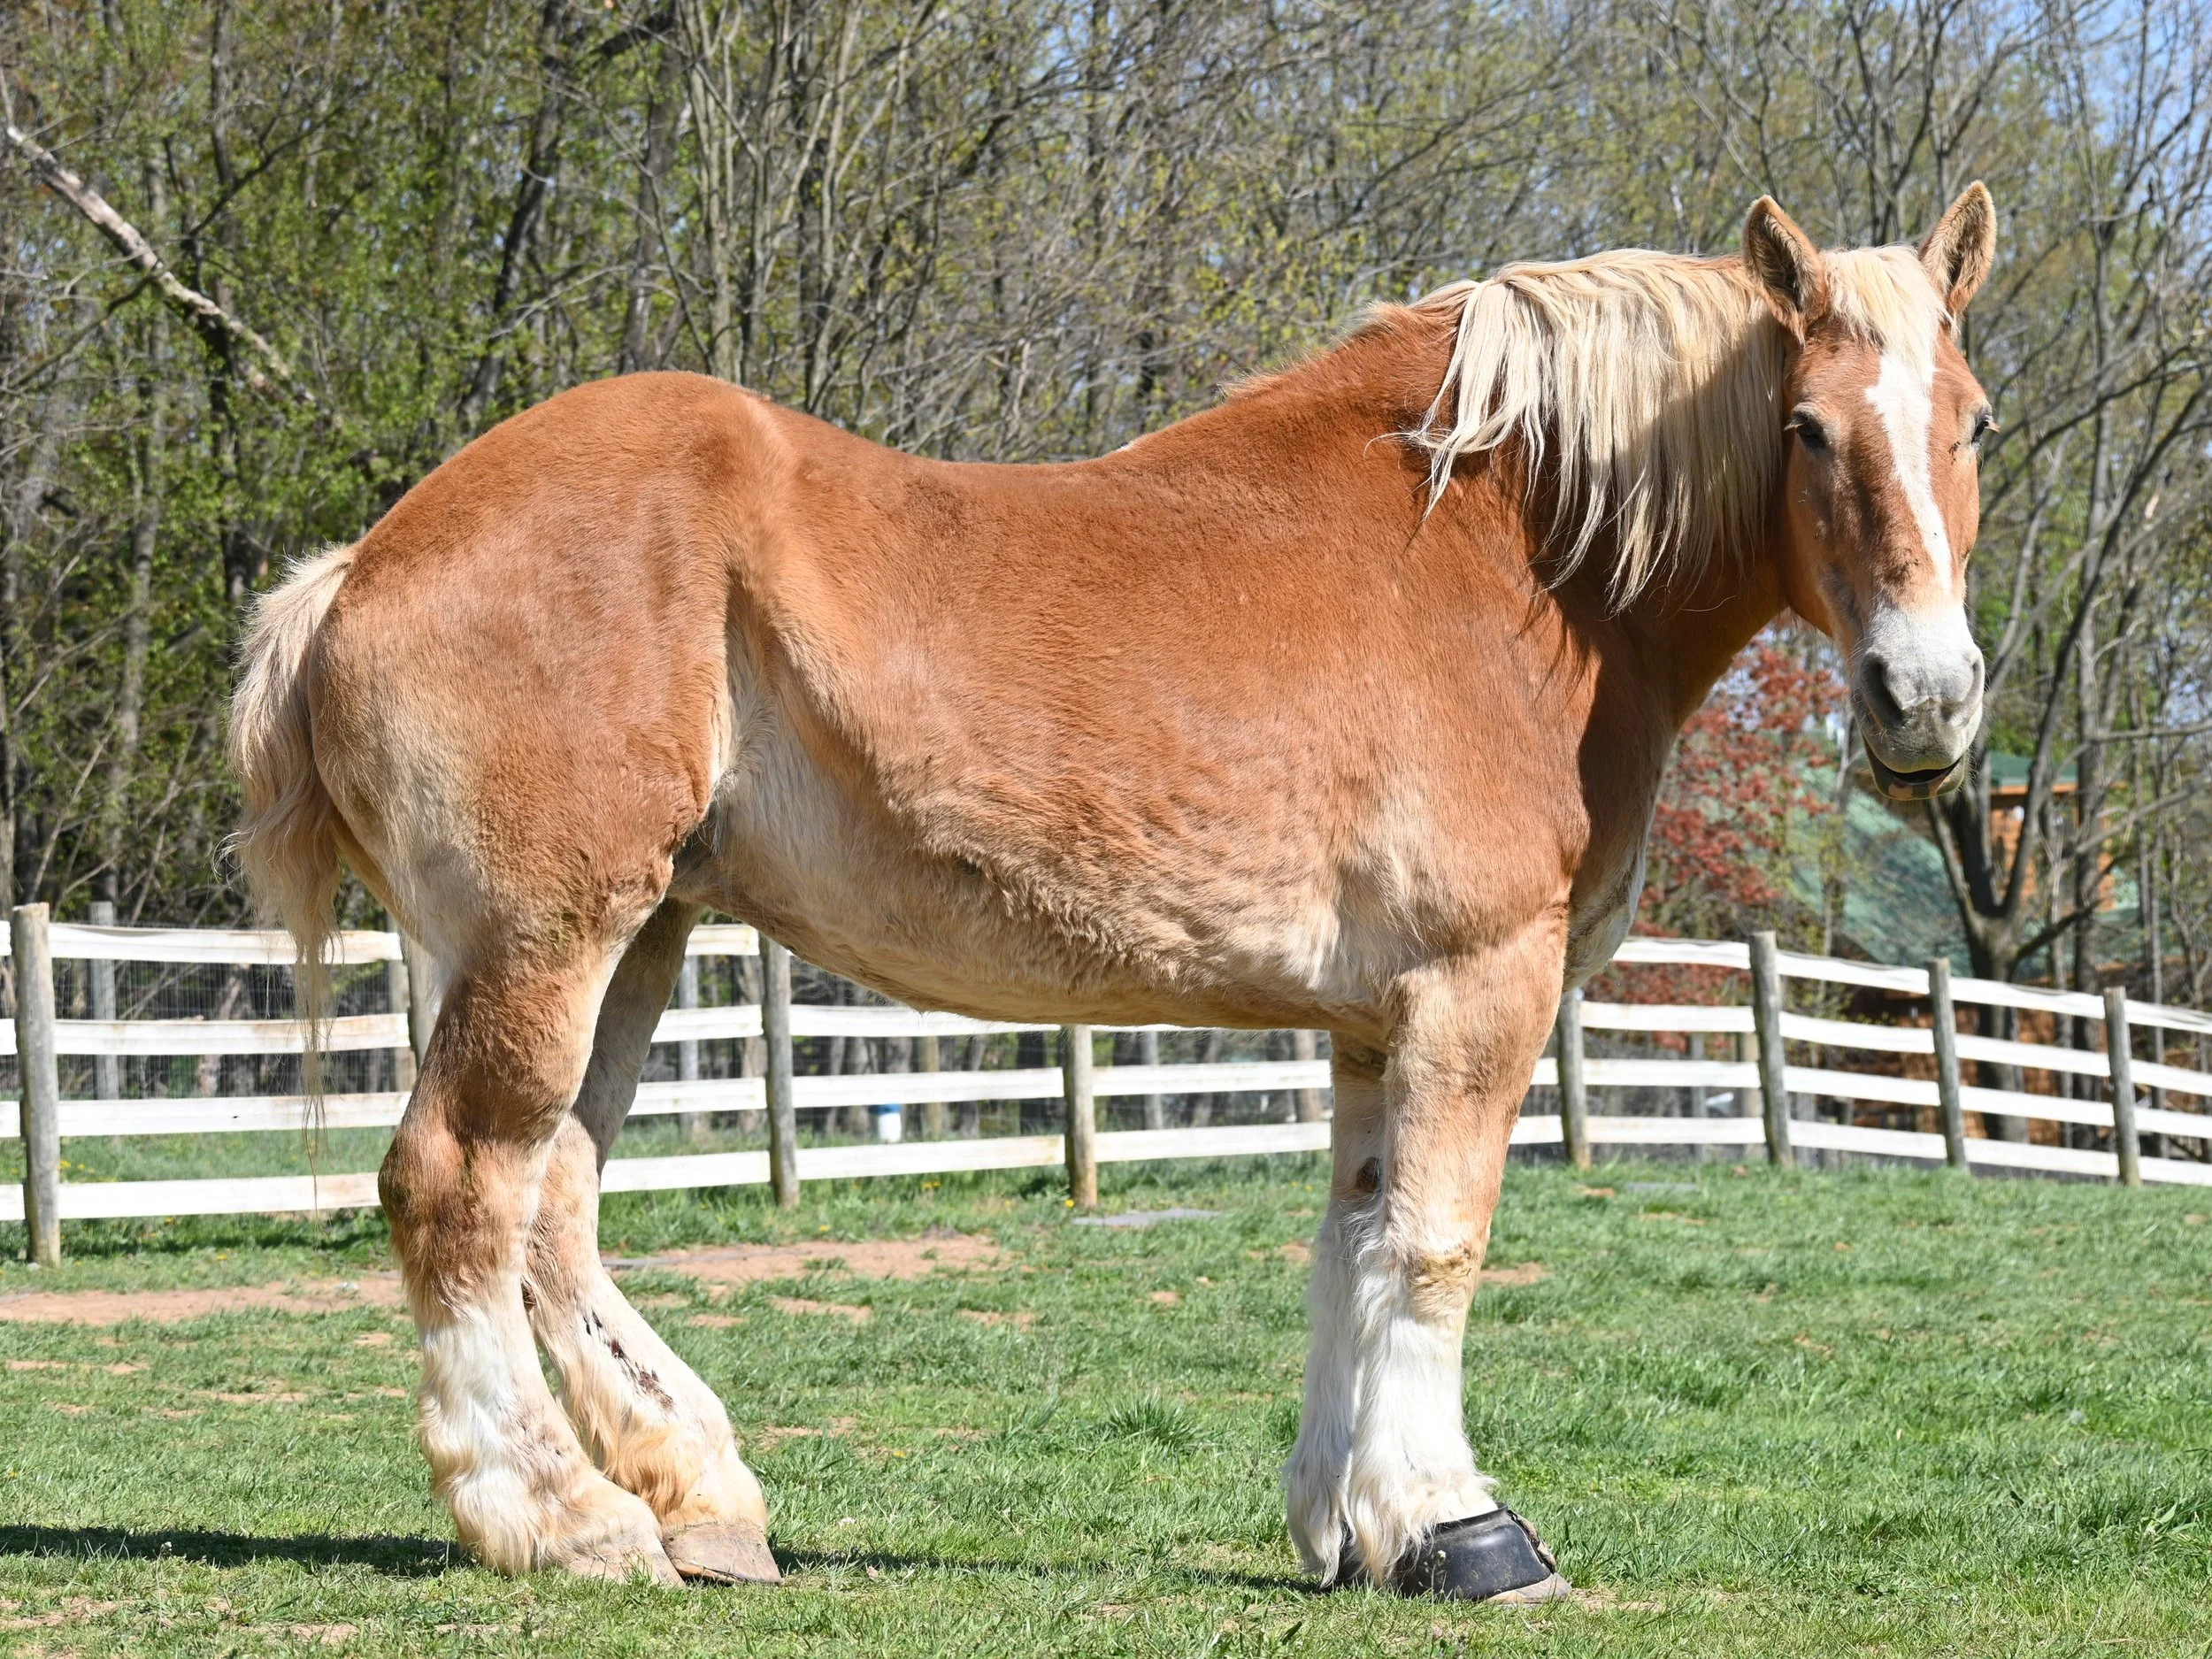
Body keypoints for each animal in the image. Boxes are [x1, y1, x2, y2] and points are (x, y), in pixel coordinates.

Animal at [230, 185, 1996, 1601]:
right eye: (1808, 428)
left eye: (1969, 420)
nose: (1927, 698)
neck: (1504, 557)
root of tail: (361, 568)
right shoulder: (1473, 984)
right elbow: (1438, 1248)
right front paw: (1459, 1527)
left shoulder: (1375, 1021)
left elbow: (1356, 1243)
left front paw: (1348, 1525)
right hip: (546, 942)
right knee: (461, 1187)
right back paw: (560, 1520)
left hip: (637, 939)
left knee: (556, 1206)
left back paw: (702, 1497)